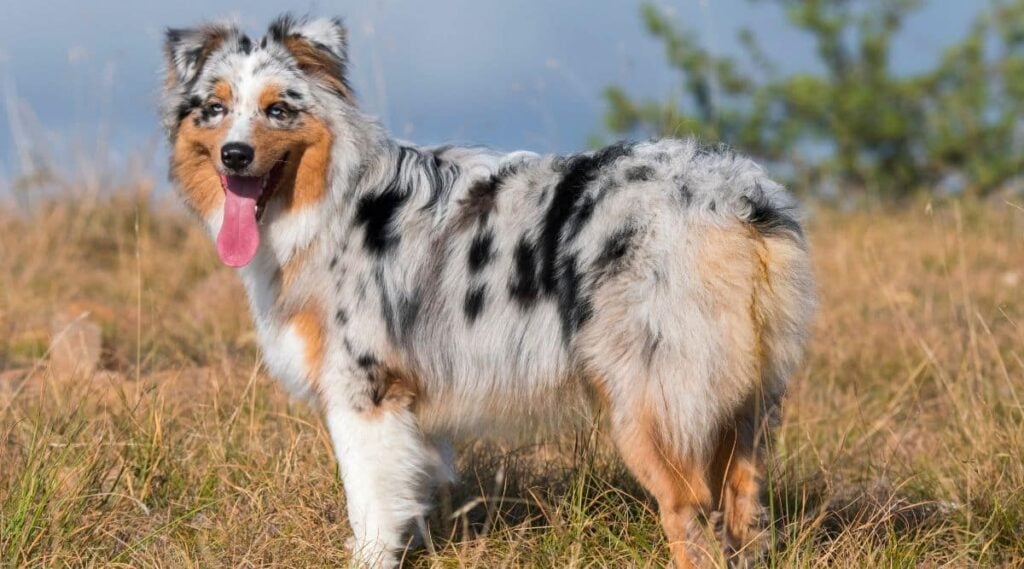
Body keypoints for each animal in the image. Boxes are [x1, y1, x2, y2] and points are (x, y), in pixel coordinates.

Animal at [161, 14, 815, 569]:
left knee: (688, 514)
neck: (332, 196)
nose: (235, 155)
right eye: (215, 108)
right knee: (744, 505)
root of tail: (736, 195)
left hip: (650, 403)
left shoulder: (364, 392)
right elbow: (406, 495)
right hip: (746, 399)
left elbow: (369, 507)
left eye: (278, 109)